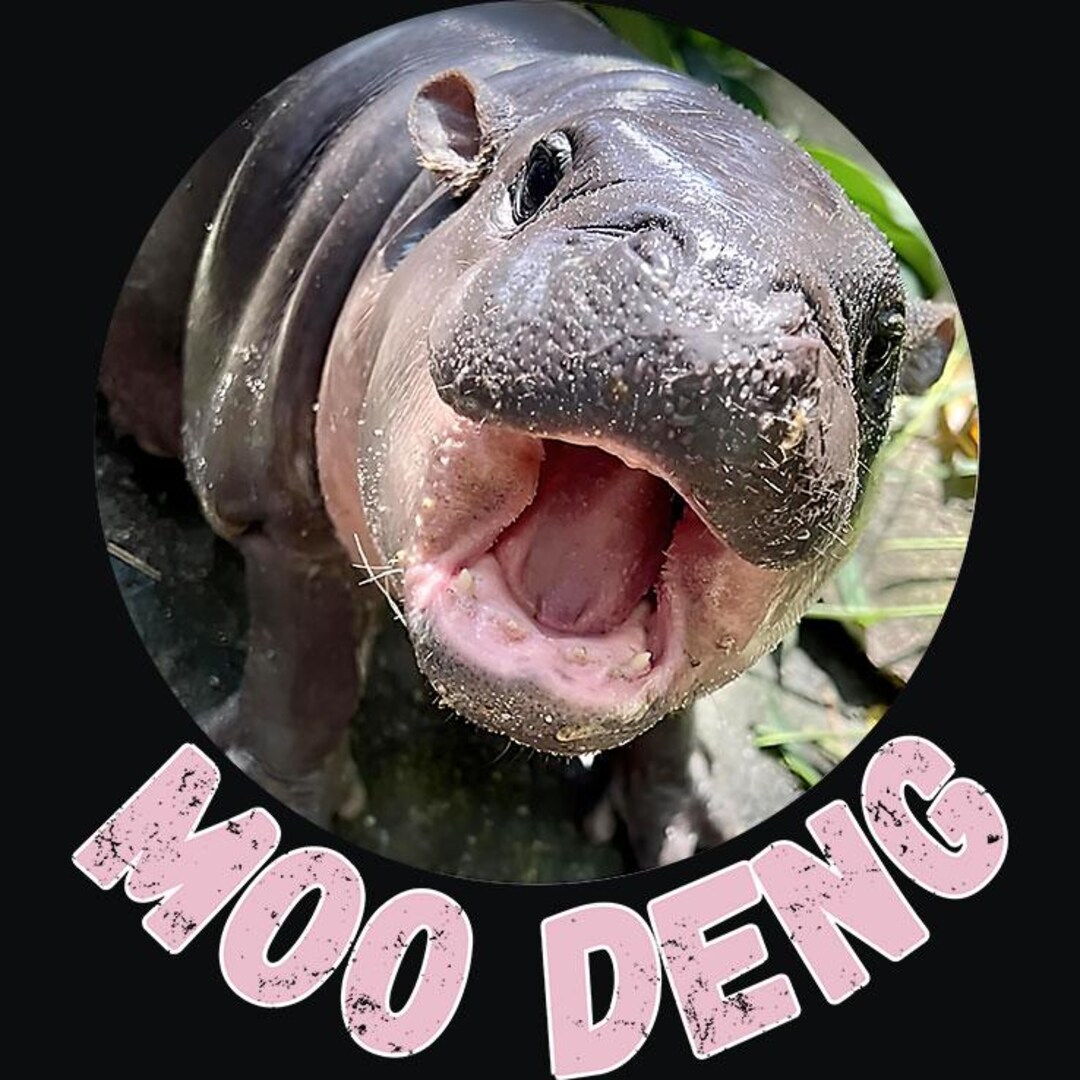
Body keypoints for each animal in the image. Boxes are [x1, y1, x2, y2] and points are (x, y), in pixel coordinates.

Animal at [99, 2, 956, 863]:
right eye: (542, 171)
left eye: (885, 342)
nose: (715, 294)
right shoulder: (278, 509)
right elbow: (306, 661)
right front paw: (274, 803)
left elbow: (675, 722)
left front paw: (686, 834)